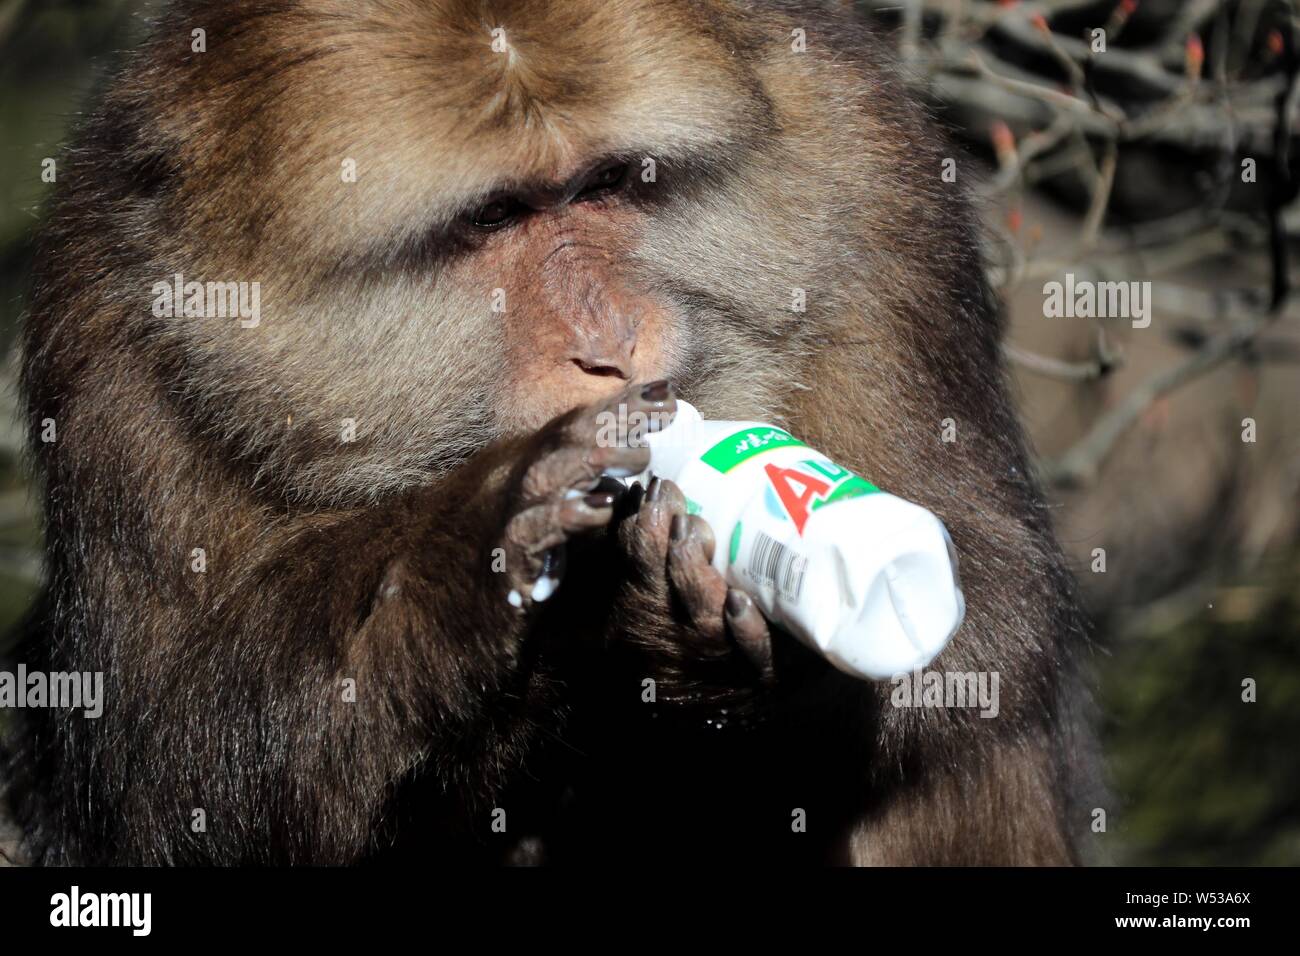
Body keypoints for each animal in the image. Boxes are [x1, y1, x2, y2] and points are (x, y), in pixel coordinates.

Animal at [2, 0, 1092, 866]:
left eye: (609, 182)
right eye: (493, 216)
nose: (609, 344)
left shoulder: (874, 183)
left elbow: (987, 614)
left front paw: (688, 646)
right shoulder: (117, 332)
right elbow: (170, 779)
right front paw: (467, 561)